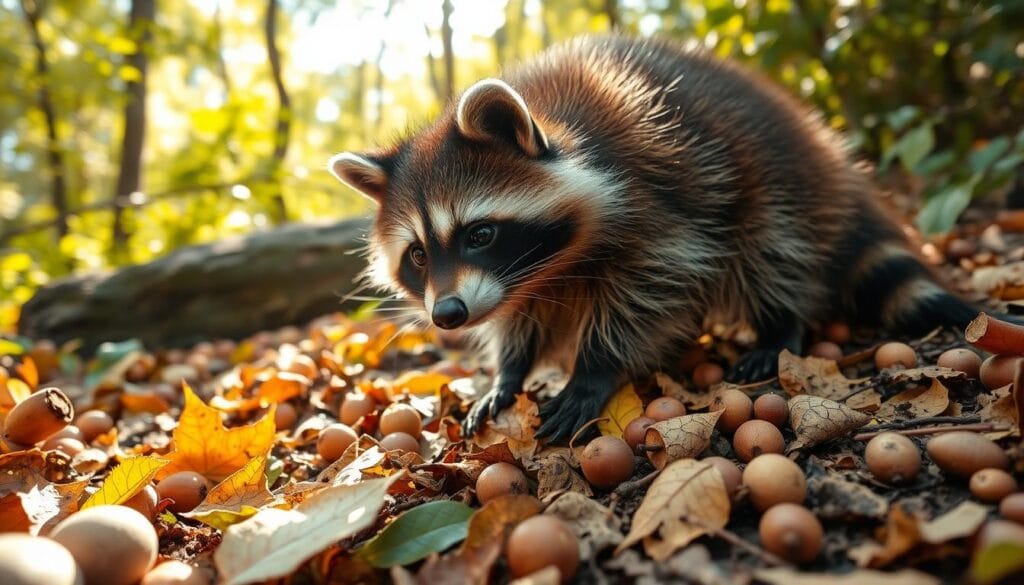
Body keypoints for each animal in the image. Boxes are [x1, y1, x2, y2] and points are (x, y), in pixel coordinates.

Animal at [329, 35, 985, 443]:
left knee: (773, 244)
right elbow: (520, 317)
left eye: (480, 233)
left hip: (770, 171)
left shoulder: (662, 196)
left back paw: (779, 324)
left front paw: (594, 368)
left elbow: (653, 285)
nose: (447, 315)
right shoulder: (519, 281)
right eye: (418, 256)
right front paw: (509, 372)